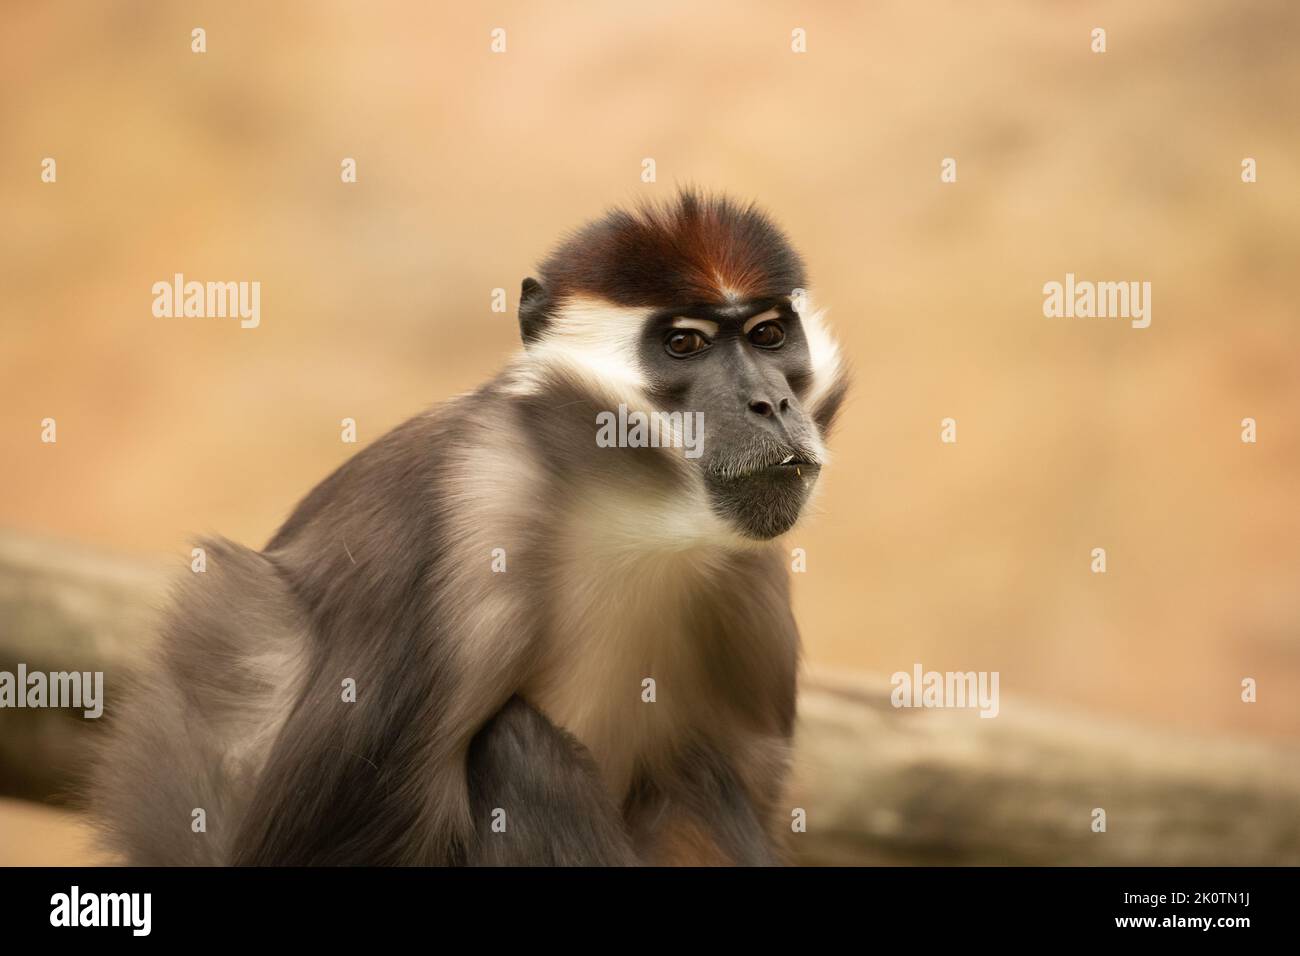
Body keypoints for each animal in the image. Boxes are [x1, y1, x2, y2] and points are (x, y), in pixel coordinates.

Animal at [91, 189, 849, 866]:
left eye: (769, 335)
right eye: (685, 343)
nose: (769, 403)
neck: (628, 515)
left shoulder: (748, 566)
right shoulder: (468, 520)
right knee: (519, 748)